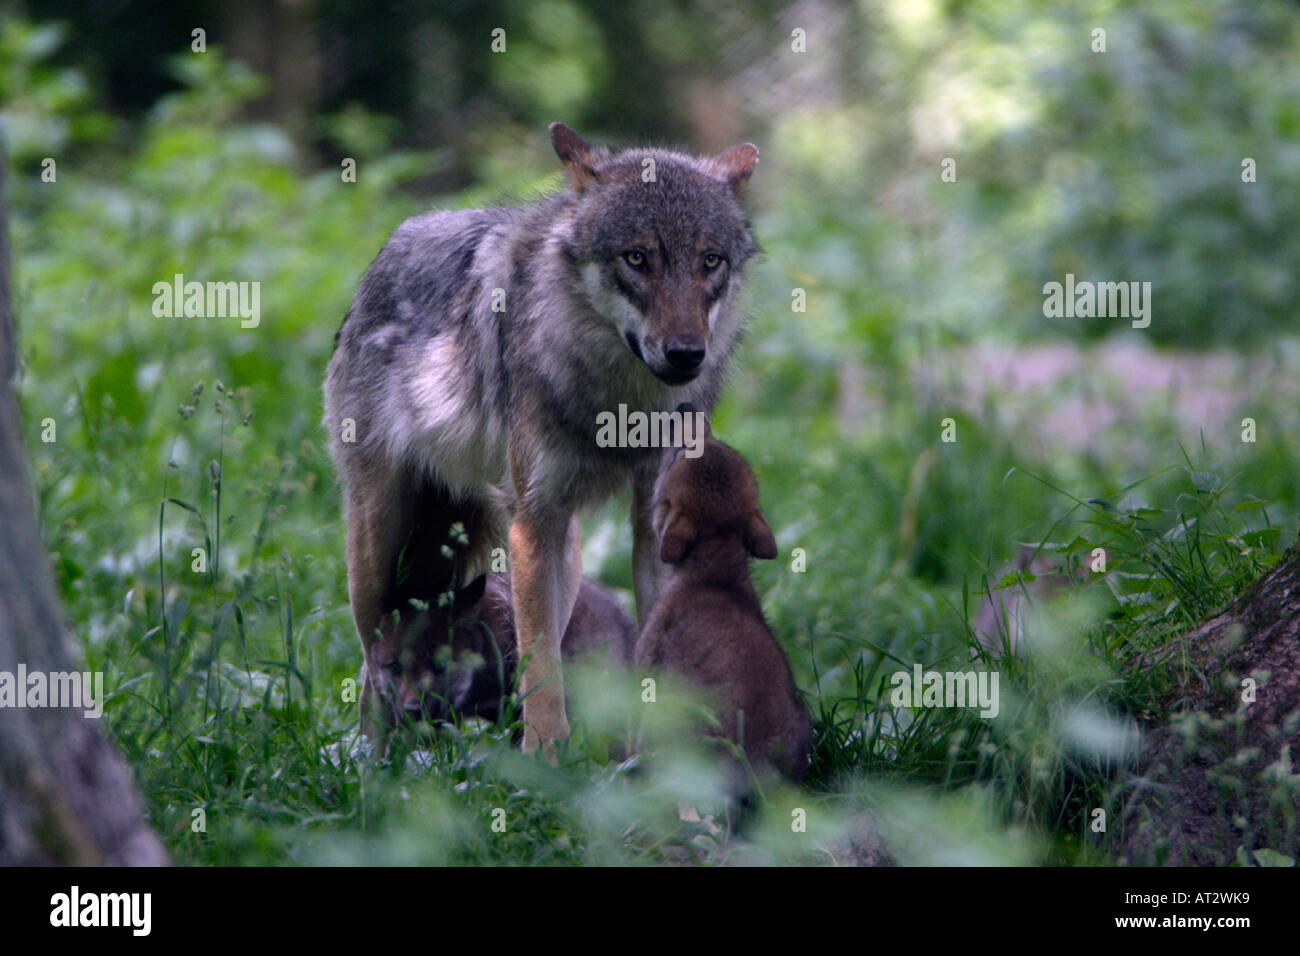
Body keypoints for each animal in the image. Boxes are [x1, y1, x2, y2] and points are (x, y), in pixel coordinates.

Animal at [324, 124, 760, 751]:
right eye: (637, 258)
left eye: (710, 260)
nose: (686, 354)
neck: (619, 403)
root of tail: (390, 246)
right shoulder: (531, 524)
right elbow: (541, 671)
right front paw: (546, 761)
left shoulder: (657, 518)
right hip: (378, 550)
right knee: (372, 665)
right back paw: (374, 759)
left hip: (563, 550)